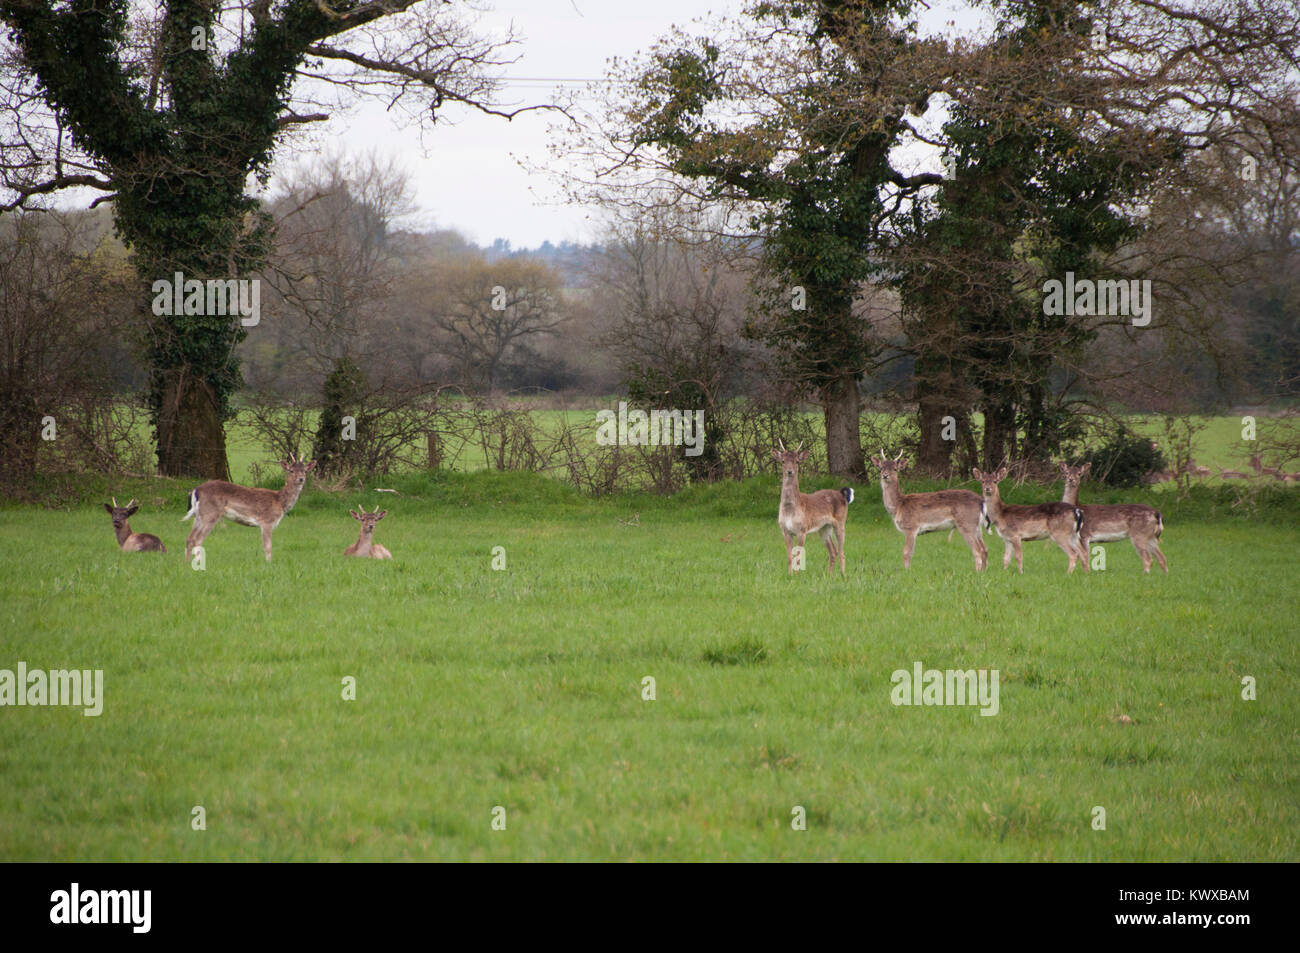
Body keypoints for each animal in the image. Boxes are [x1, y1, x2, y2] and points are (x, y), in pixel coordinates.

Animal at [182, 454, 316, 562]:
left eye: (305, 471)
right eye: (291, 470)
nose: (301, 479)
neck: (280, 501)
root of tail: (195, 490)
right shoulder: (266, 521)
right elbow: (268, 546)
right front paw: (269, 564)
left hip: (198, 516)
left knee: (189, 538)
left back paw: (187, 563)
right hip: (210, 513)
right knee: (198, 540)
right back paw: (198, 563)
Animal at [773, 440, 853, 577]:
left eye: (797, 461)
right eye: (782, 461)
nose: (789, 471)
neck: (790, 510)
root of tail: (842, 494)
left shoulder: (802, 529)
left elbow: (798, 555)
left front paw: (796, 576)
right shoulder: (785, 530)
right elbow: (789, 556)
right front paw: (790, 575)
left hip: (840, 522)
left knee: (842, 551)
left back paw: (843, 575)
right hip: (824, 528)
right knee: (833, 551)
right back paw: (829, 575)